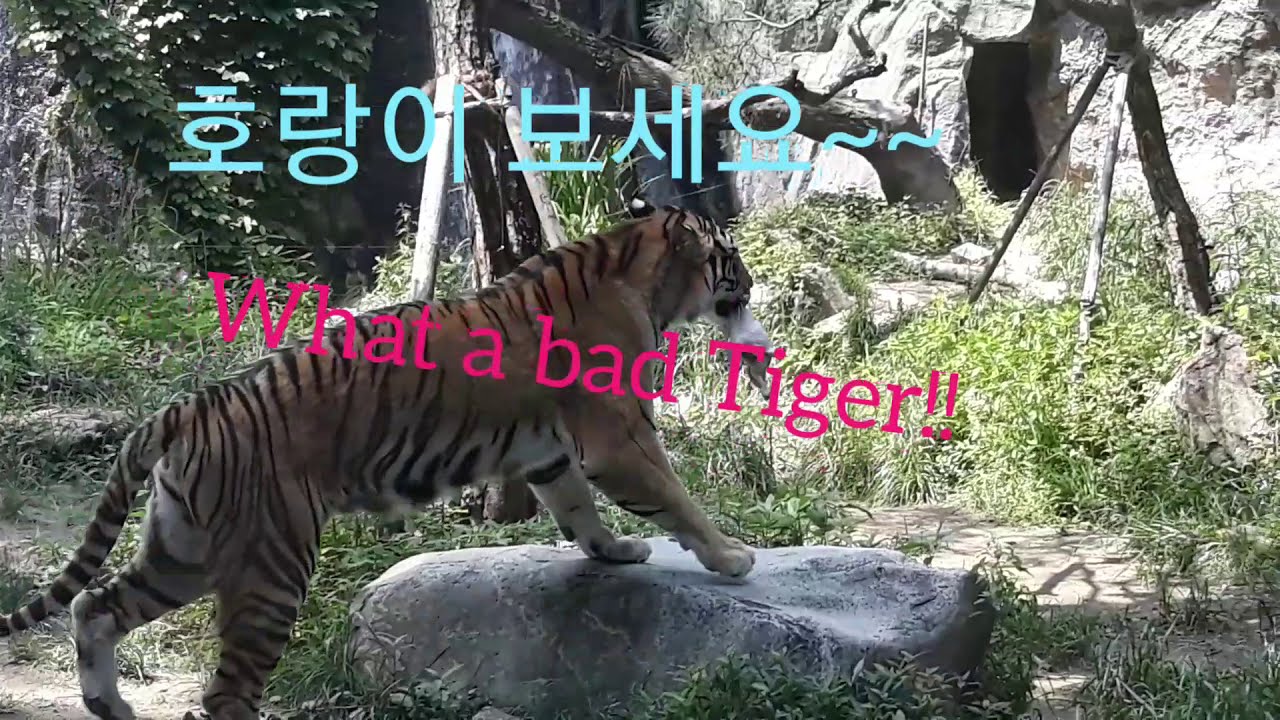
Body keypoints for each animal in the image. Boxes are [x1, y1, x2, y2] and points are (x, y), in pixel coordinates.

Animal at [0, 196, 777, 720]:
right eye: (732, 263)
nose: (754, 292)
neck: (641, 275)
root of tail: (191, 405)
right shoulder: (617, 438)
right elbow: (675, 497)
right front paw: (732, 557)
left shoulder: (552, 454)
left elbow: (579, 511)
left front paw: (615, 550)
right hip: (270, 561)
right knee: (224, 692)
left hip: (184, 551)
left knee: (95, 606)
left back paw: (110, 705)